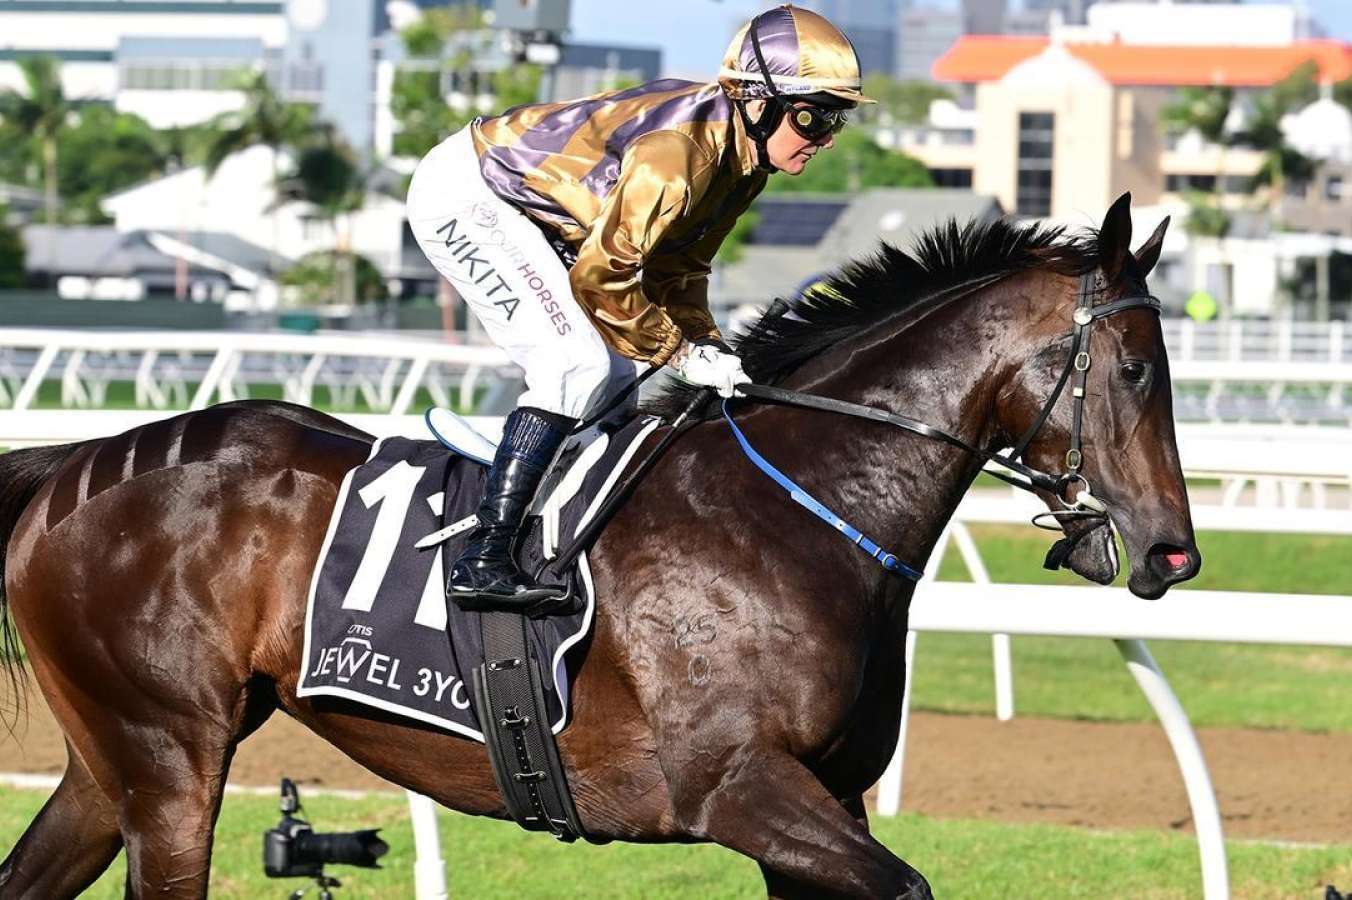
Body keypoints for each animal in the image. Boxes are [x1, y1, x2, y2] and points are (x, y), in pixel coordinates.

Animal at [0, 194, 1199, 899]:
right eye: (1137, 369)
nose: (1171, 556)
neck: (789, 515)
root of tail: (79, 464)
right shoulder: (737, 788)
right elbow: (906, 885)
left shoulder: (827, 797)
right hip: (169, 755)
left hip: (116, 761)